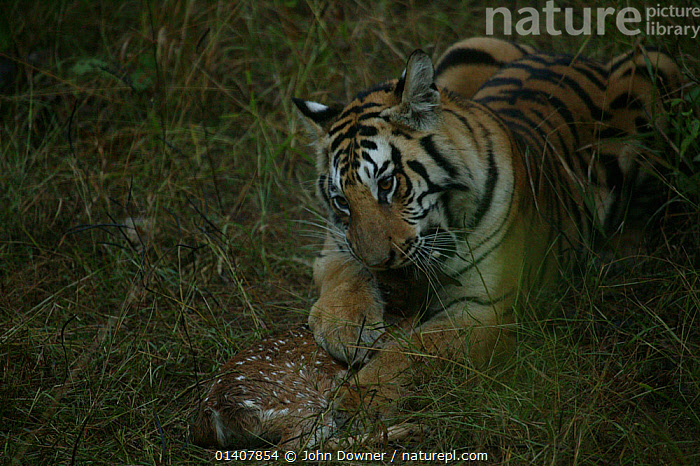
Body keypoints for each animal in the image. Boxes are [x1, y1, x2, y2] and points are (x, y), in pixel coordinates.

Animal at [292, 37, 681, 423]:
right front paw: (345, 327)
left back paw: (623, 254)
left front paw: (357, 400)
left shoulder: (484, 307)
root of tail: (568, 55)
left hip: (654, 70)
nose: (380, 263)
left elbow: (414, 352)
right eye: (342, 201)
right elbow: (345, 269)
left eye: (387, 184)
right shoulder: (336, 242)